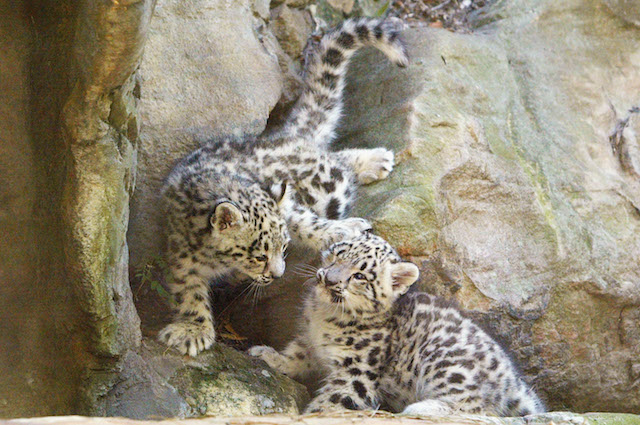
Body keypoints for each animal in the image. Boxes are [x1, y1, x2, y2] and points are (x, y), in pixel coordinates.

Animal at [158, 18, 410, 356]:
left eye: (285, 247)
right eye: (259, 256)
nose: (277, 274)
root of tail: (284, 136)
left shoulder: (287, 208)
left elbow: (306, 223)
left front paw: (345, 230)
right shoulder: (180, 254)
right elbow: (188, 290)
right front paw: (192, 330)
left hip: (323, 185)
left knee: (334, 163)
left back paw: (375, 159)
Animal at [249, 233, 545, 416]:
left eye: (360, 276)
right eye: (339, 254)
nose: (329, 279)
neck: (323, 315)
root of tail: (513, 380)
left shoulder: (356, 372)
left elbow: (332, 399)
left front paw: (311, 413)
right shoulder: (310, 343)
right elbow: (296, 356)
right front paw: (269, 355)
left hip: (445, 362)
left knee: (479, 406)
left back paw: (421, 408)